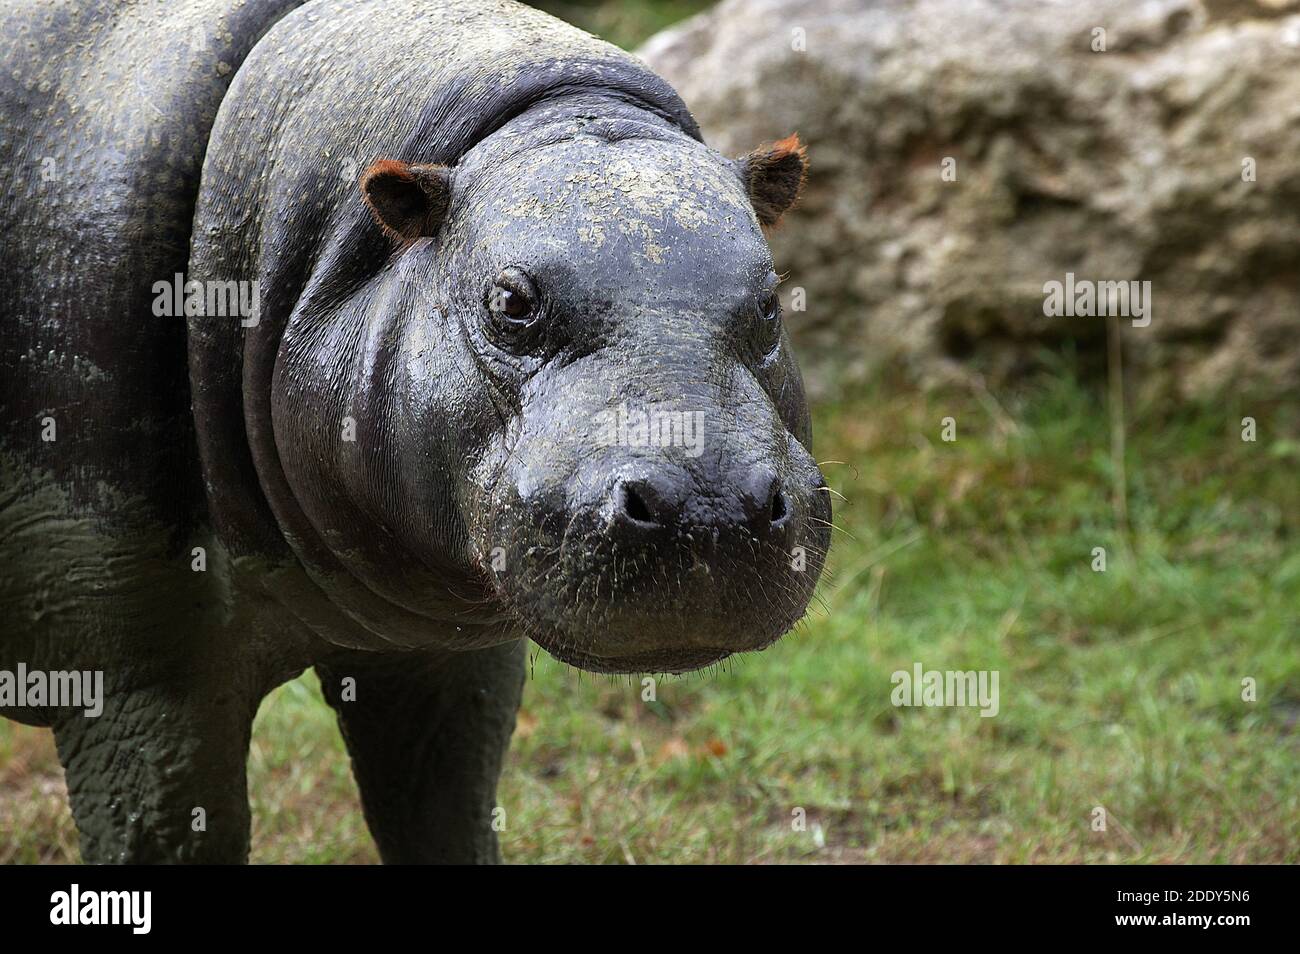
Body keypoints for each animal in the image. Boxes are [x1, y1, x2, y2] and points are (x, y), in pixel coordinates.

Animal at [0, 0, 830, 863]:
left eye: (773, 298)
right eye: (511, 301)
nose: (707, 505)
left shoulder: (448, 658)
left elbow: (443, 809)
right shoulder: (140, 679)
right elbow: (171, 830)